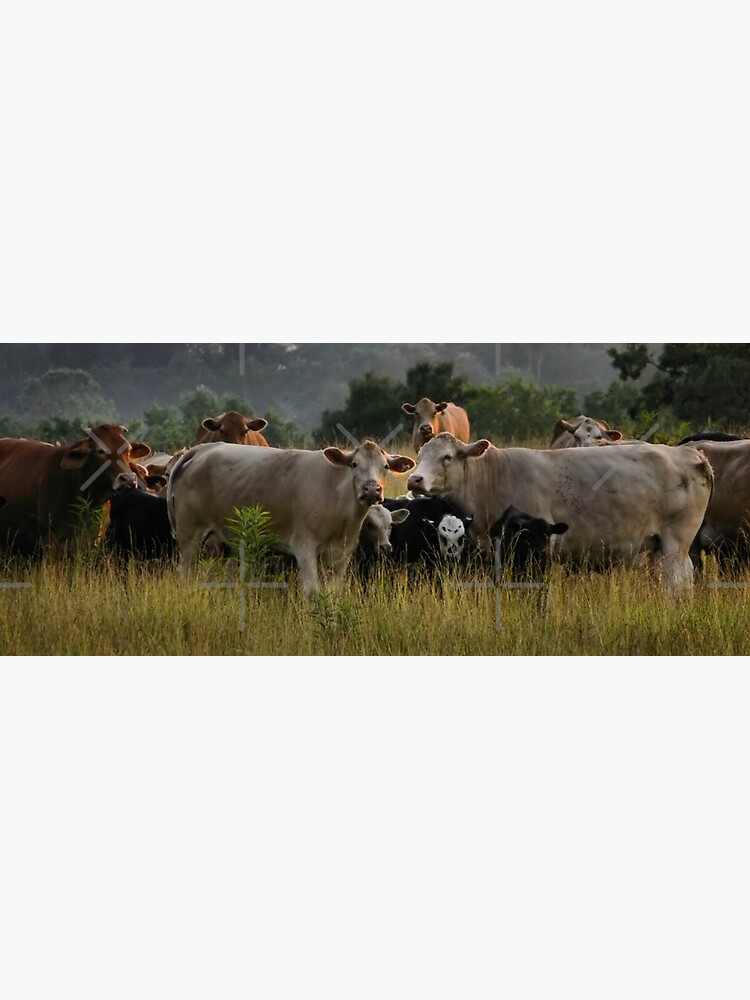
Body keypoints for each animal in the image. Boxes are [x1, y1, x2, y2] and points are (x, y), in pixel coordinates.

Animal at [167, 440, 415, 591]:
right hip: (190, 535)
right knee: (185, 574)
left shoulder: (340, 553)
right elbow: (312, 591)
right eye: (354, 464)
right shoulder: (304, 545)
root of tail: (204, 448)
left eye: (385, 466)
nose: (372, 489)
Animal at [406, 433, 714, 591]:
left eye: (447, 457)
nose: (414, 480)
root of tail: (691, 455)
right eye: (420, 456)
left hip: (676, 541)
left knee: (678, 578)